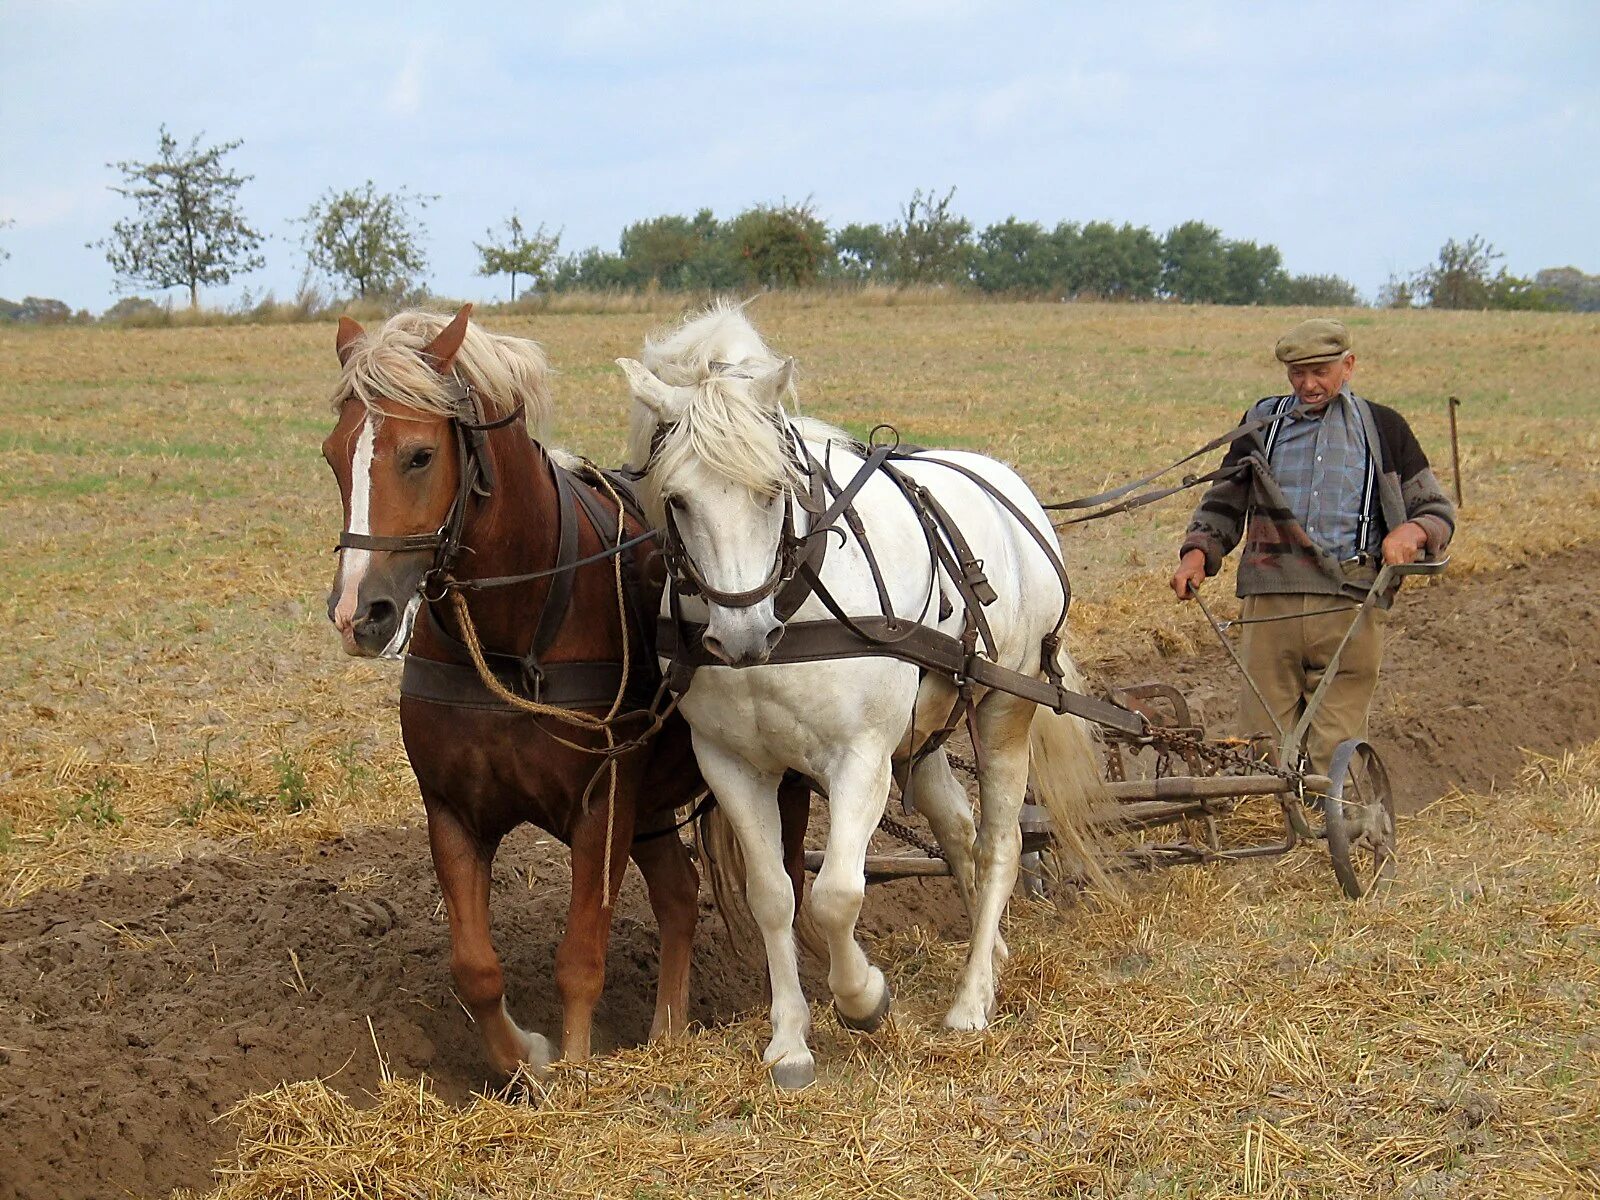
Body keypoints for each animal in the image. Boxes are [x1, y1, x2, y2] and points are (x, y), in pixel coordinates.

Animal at [320, 305, 806, 1075]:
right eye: (334, 454)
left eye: (419, 455)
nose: (357, 614)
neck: (512, 637)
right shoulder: (452, 811)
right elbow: (475, 969)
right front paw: (526, 1059)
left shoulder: (602, 806)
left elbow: (581, 956)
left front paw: (575, 1070)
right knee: (680, 894)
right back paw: (667, 1034)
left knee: (783, 884)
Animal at [617, 302, 1107, 1088]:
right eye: (677, 499)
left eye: (773, 490)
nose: (742, 634)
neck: (791, 604)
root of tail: (1010, 488)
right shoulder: (730, 764)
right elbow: (774, 896)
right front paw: (789, 1040)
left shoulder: (860, 759)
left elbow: (836, 896)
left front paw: (864, 999)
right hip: (925, 734)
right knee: (958, 830)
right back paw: (992, 955)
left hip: (1006, 707)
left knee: (999, 842)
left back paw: (972, 999)